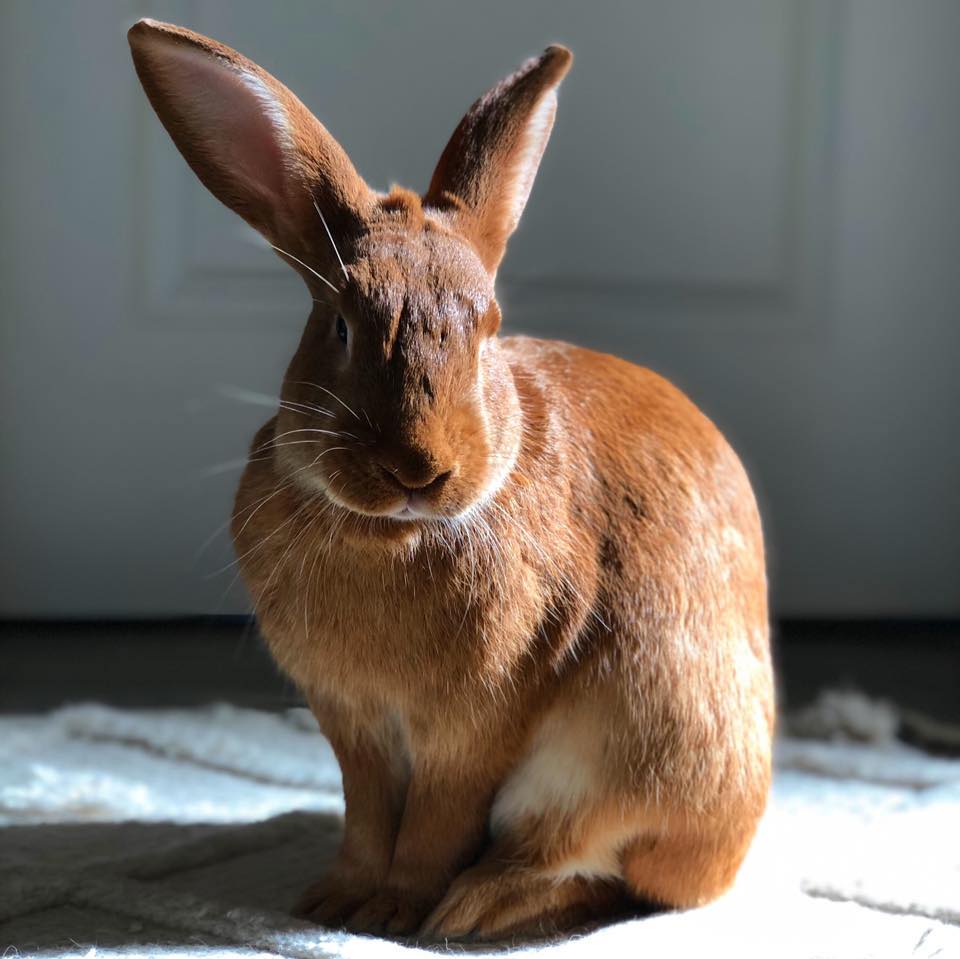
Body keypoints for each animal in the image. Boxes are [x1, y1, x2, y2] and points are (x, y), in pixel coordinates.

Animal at [129, 19, 774, 941]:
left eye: (489, 328)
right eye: (339, 325)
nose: (419, 467)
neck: (392, 533)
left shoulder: (475, 726)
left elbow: (437, 819)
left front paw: (399, 908)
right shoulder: (353, 721)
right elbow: (368, 813)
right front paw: (337, 897)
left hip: (640, 750)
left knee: (603, 870)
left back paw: (478, 905)